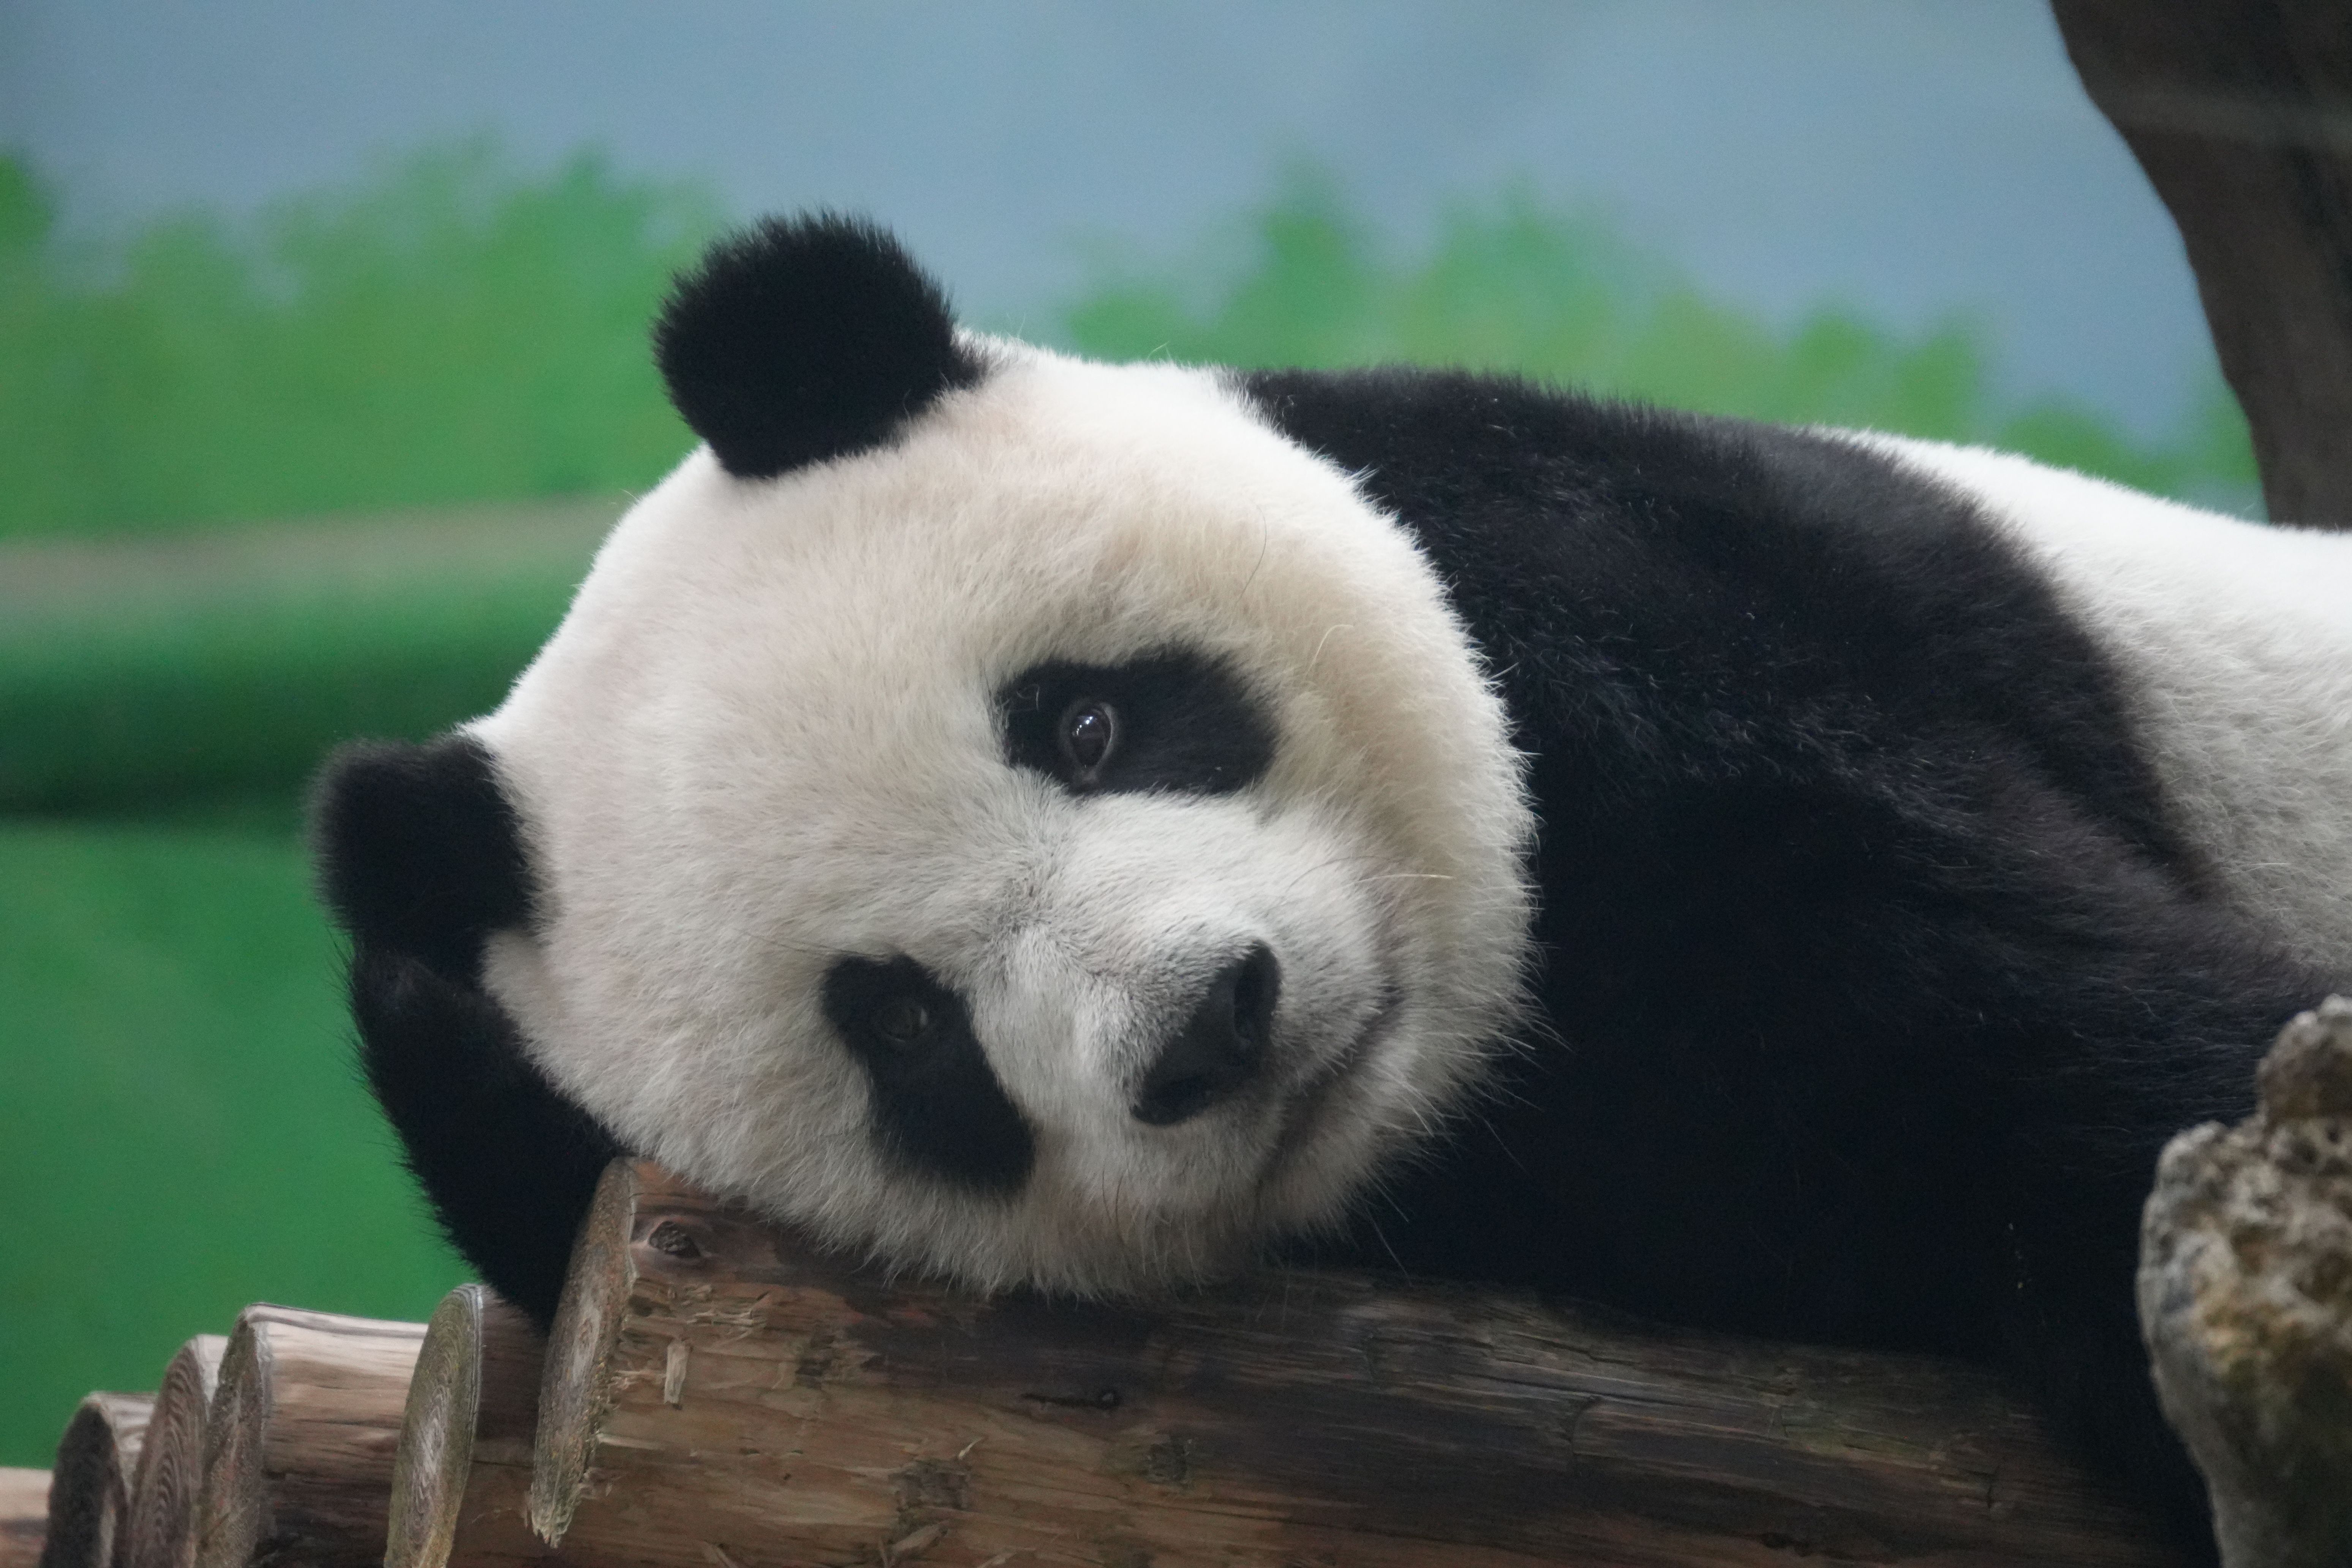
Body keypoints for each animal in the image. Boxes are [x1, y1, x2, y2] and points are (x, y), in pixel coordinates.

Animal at [313, 215, 2352, 1556]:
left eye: (1083, 719)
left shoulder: (1641, 586)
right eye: (904, 1030)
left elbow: (2037, 1040)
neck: (1501, 1042)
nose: (1208, 1023)